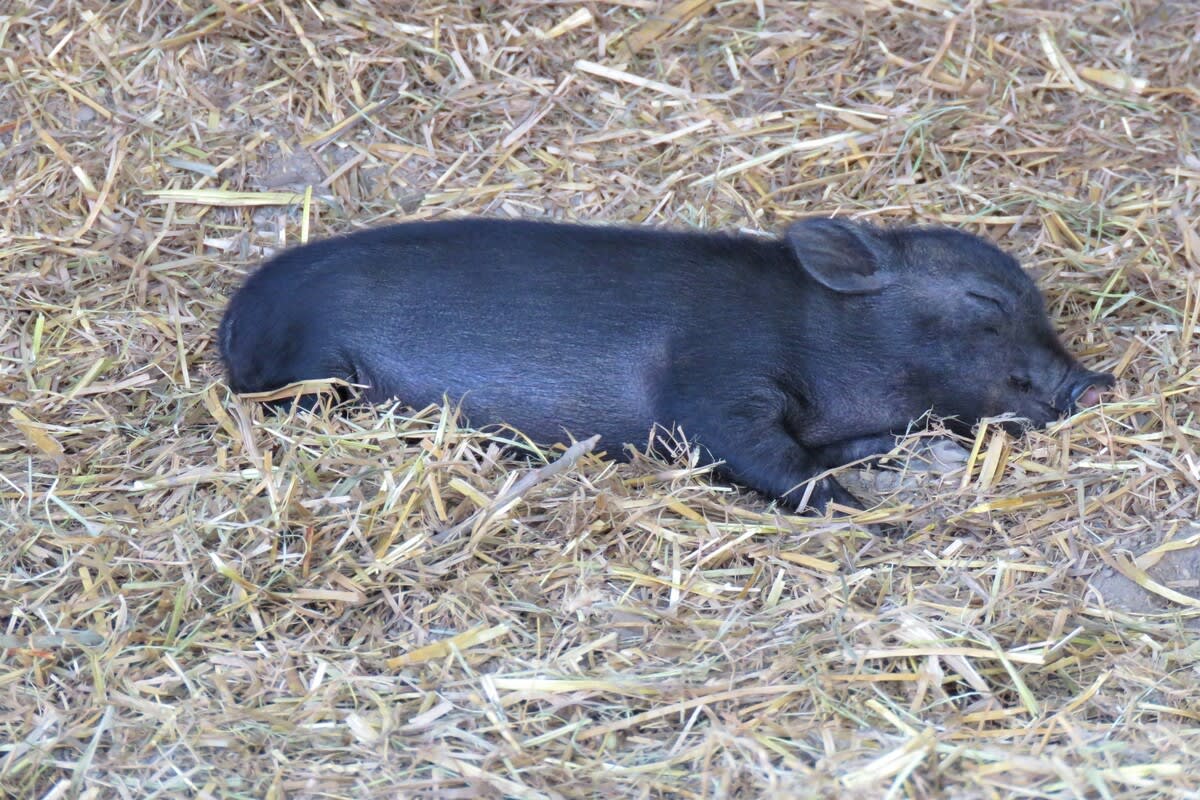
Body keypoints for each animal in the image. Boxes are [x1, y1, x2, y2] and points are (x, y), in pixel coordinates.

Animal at [218, 217, 1113, 511]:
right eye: (984, 304)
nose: (1092, 383)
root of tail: (233, 317)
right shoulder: (715, 379)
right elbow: (753, 450)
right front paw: (857, 505)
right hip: (314, 371)